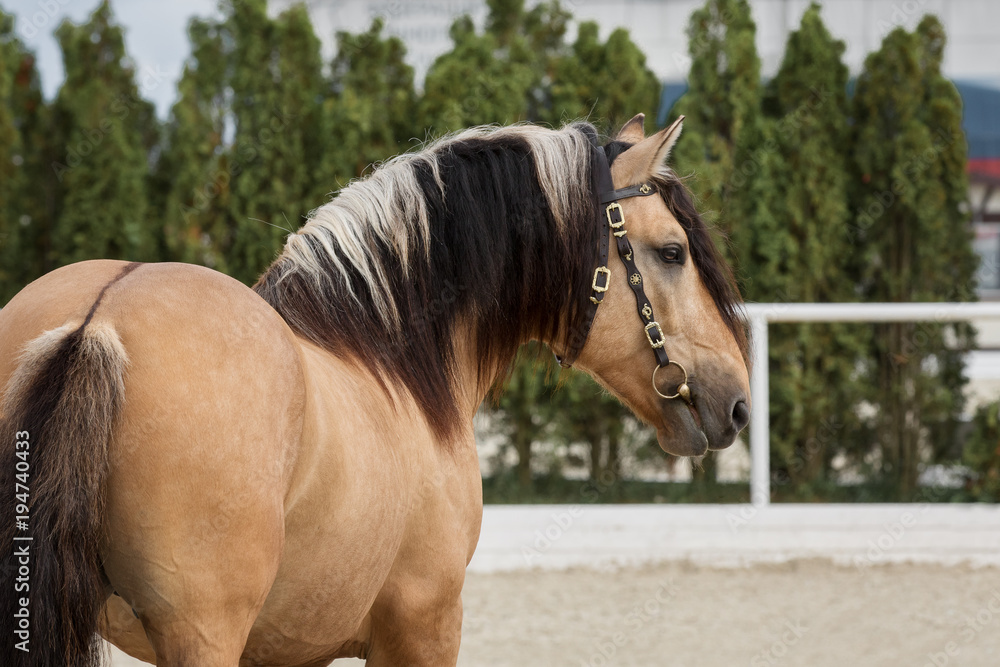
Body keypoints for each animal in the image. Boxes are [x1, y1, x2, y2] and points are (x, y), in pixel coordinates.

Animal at [0, 114, 750, 666]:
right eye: (673, 251)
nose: (739, 400)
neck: (391, 356)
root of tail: (96, 320)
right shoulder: (423, 627)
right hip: (201, 636)